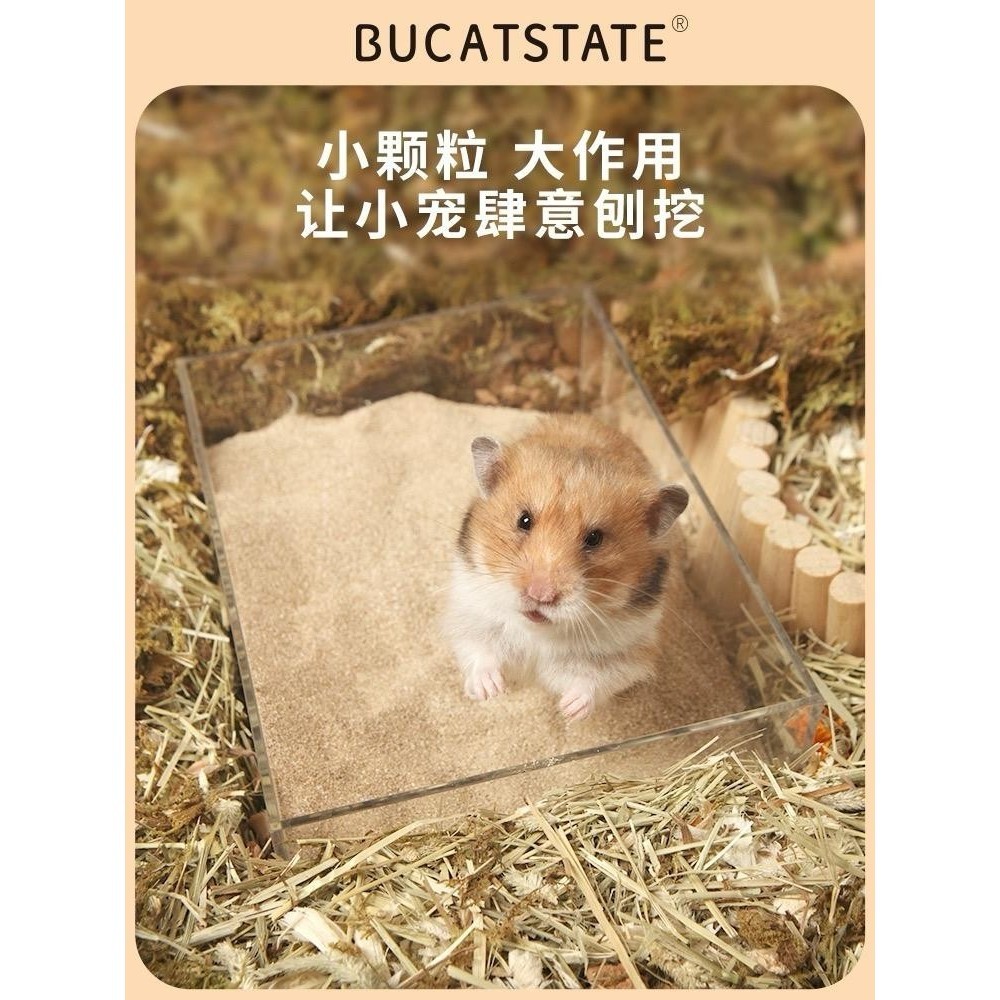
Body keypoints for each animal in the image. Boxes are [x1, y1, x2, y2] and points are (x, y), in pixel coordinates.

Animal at [442, 413, 689, 722]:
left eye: (595, 538)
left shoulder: (626, 650)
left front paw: (568, 711)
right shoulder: (472, 613)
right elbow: (479, 652)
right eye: (524, 520)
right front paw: (491, 692)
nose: (540, 595)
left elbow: (595, 681)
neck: (537, 630)